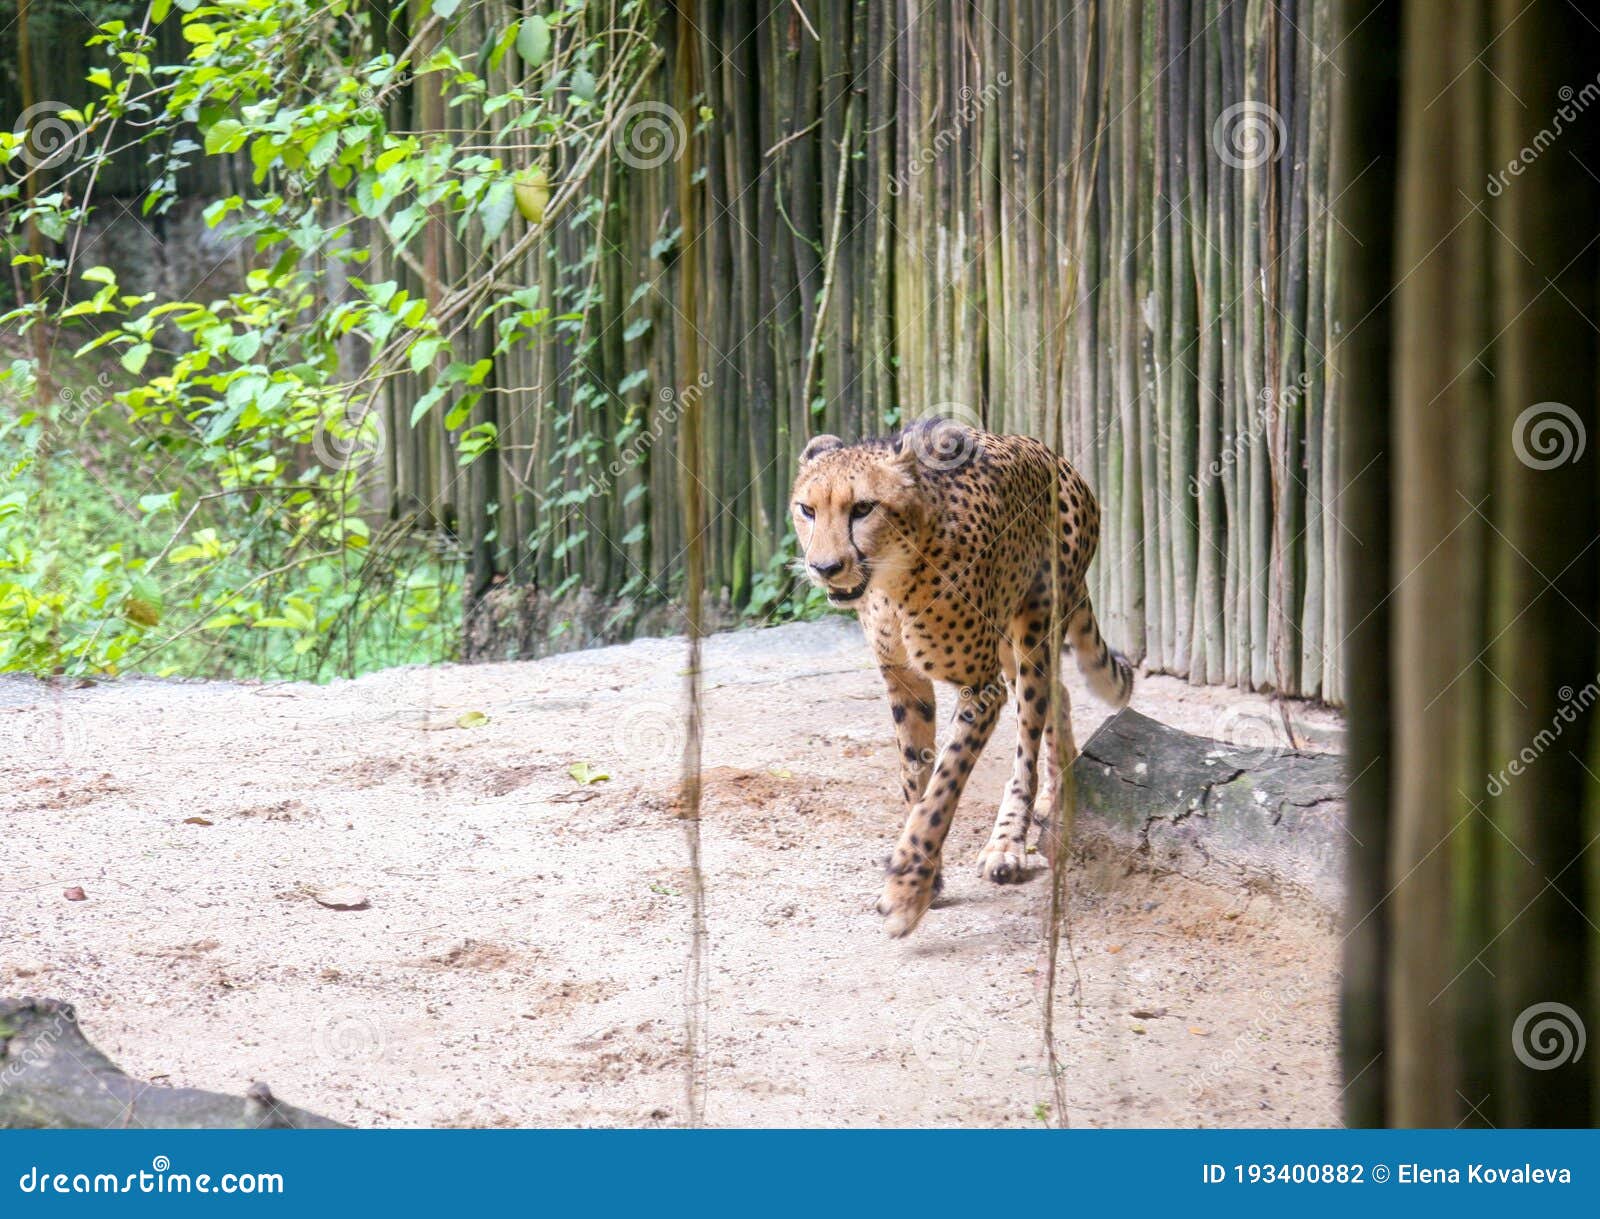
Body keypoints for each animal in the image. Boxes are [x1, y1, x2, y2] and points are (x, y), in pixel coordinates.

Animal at [790, 419, 1133, 938]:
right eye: (807, 509)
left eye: (863, 508)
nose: (825, 567)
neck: (893, 582)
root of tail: (1055, 458)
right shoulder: (903, 681)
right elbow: (915, 777)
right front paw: (927, 880)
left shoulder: (981, 688)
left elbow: (943, 786)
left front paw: (906, 891)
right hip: (1012, 646)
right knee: (1060, 694)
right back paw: (1058, 794)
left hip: (1031, 632)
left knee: (1029, 734)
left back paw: (1008, 841)